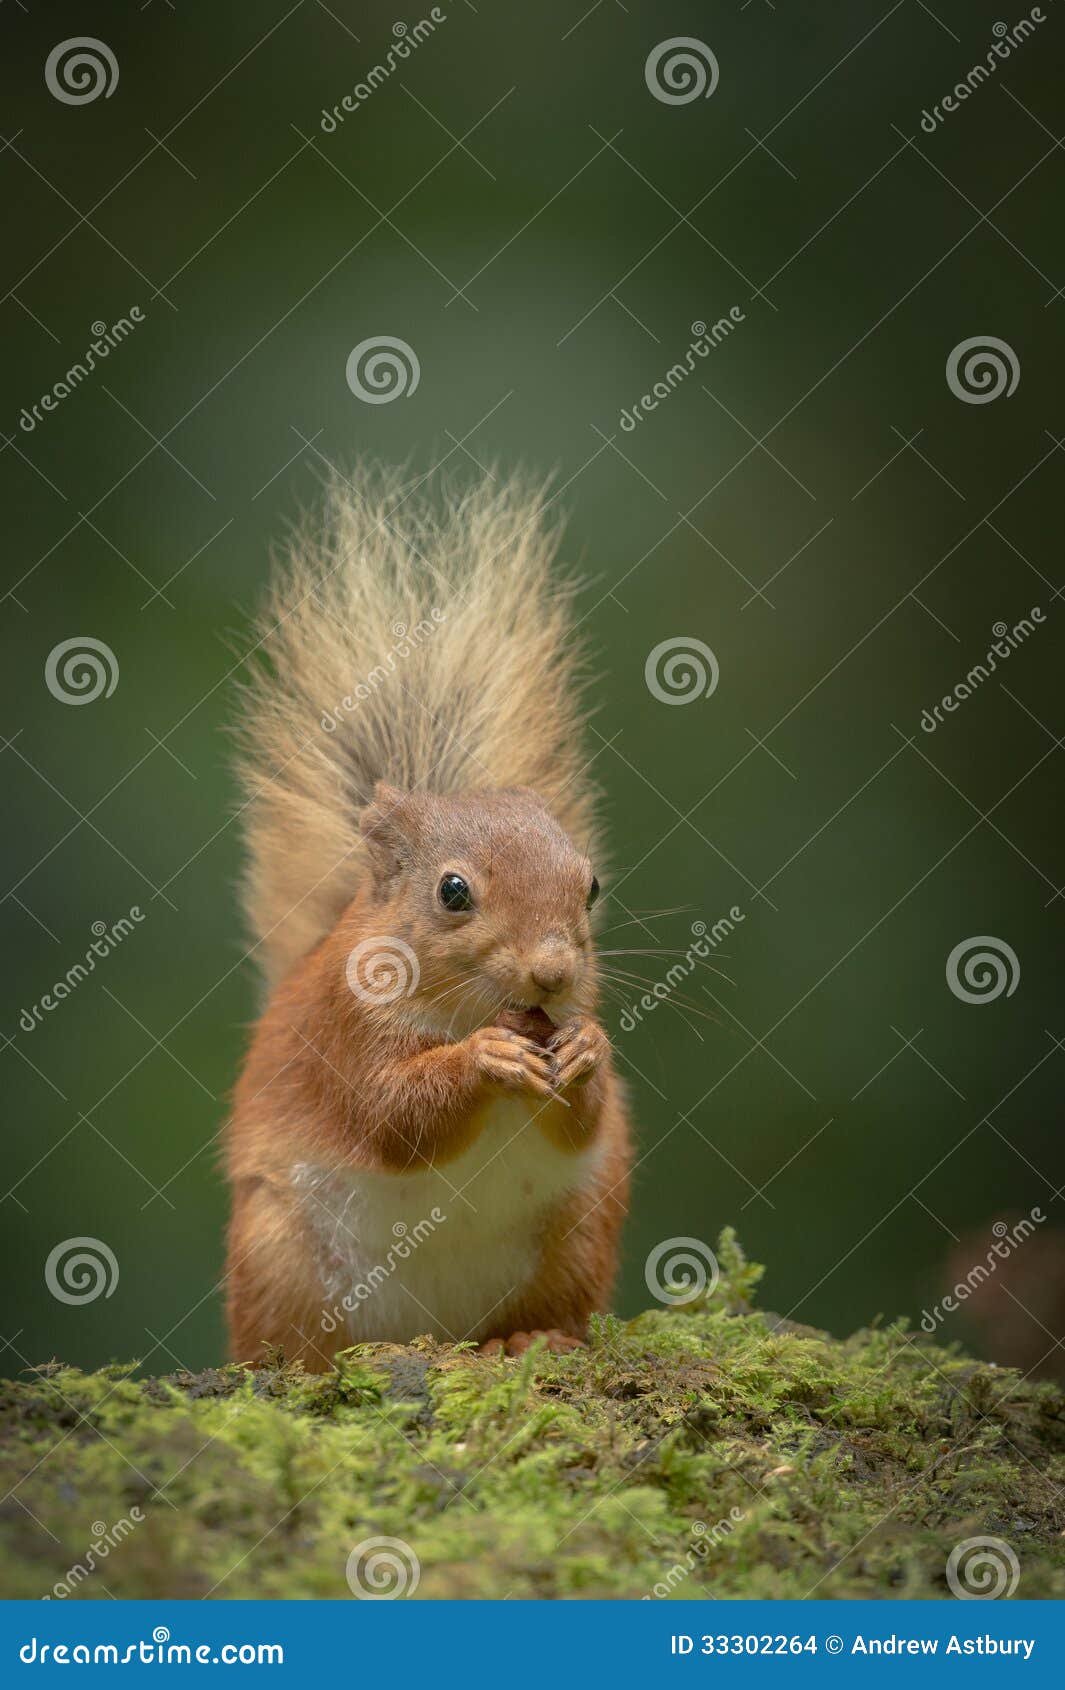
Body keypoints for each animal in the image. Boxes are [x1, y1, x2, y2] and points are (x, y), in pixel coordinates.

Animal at [224, 468, 632, 1369]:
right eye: (452, 893)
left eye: (589, 886)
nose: (553, 972)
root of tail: (434, 1329)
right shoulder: (344, 1031)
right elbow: (391, 1118)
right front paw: (484, 1060)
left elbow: (581, 1120)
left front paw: (585, 1049)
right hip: (277, 1252)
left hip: (581, 1230)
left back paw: (531, 1337)